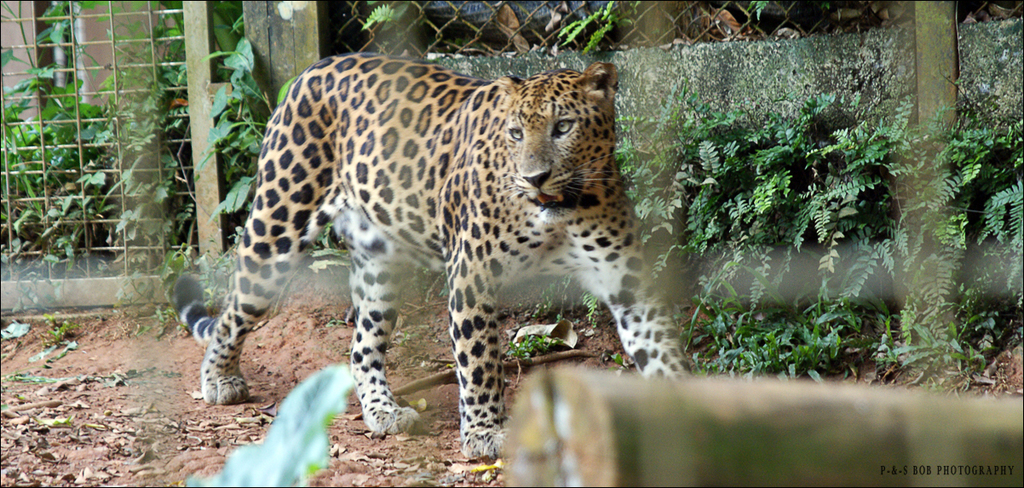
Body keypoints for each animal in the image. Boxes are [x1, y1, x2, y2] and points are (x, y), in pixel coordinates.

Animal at [173, 53, 686, 459]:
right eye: (515, 133)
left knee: (361, 346)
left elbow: (662, 350)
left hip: (379, 266)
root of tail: (312, 69)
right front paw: (484, 433)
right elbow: (480, 361)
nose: (535, 178)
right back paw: (219, 379)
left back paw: (384, 411)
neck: (560, 211)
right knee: (233, 312)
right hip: (277, 228)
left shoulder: (627, 284)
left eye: (564, 127)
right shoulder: (472, 276)